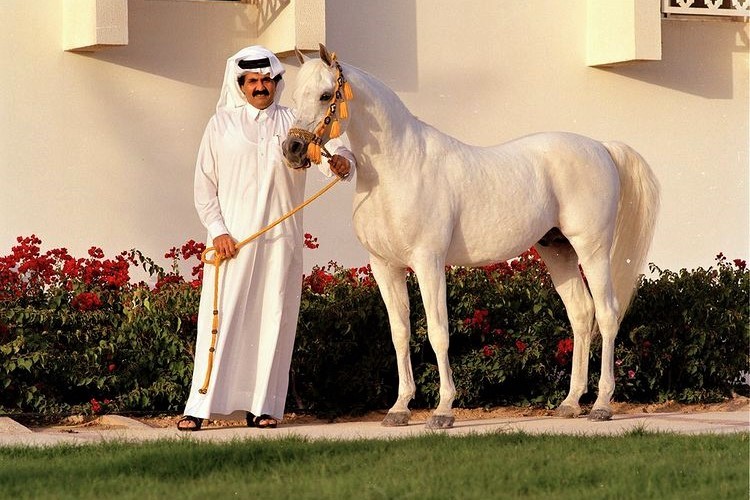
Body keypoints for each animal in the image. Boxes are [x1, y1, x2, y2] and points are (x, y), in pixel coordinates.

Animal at [283, 44, 660, 429]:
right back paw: (570, 402)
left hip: (592, 248)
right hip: (559, 251)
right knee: (581, 315)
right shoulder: (385, 266)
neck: (397, 168)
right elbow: (400, 333)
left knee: (607, 314)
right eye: (295, 97)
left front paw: (443, 410)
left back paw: (601, 405)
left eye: (325, 95)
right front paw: (399, 408)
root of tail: (601, 147)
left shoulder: (428, 262)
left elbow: (438, 332)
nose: (292, 149)